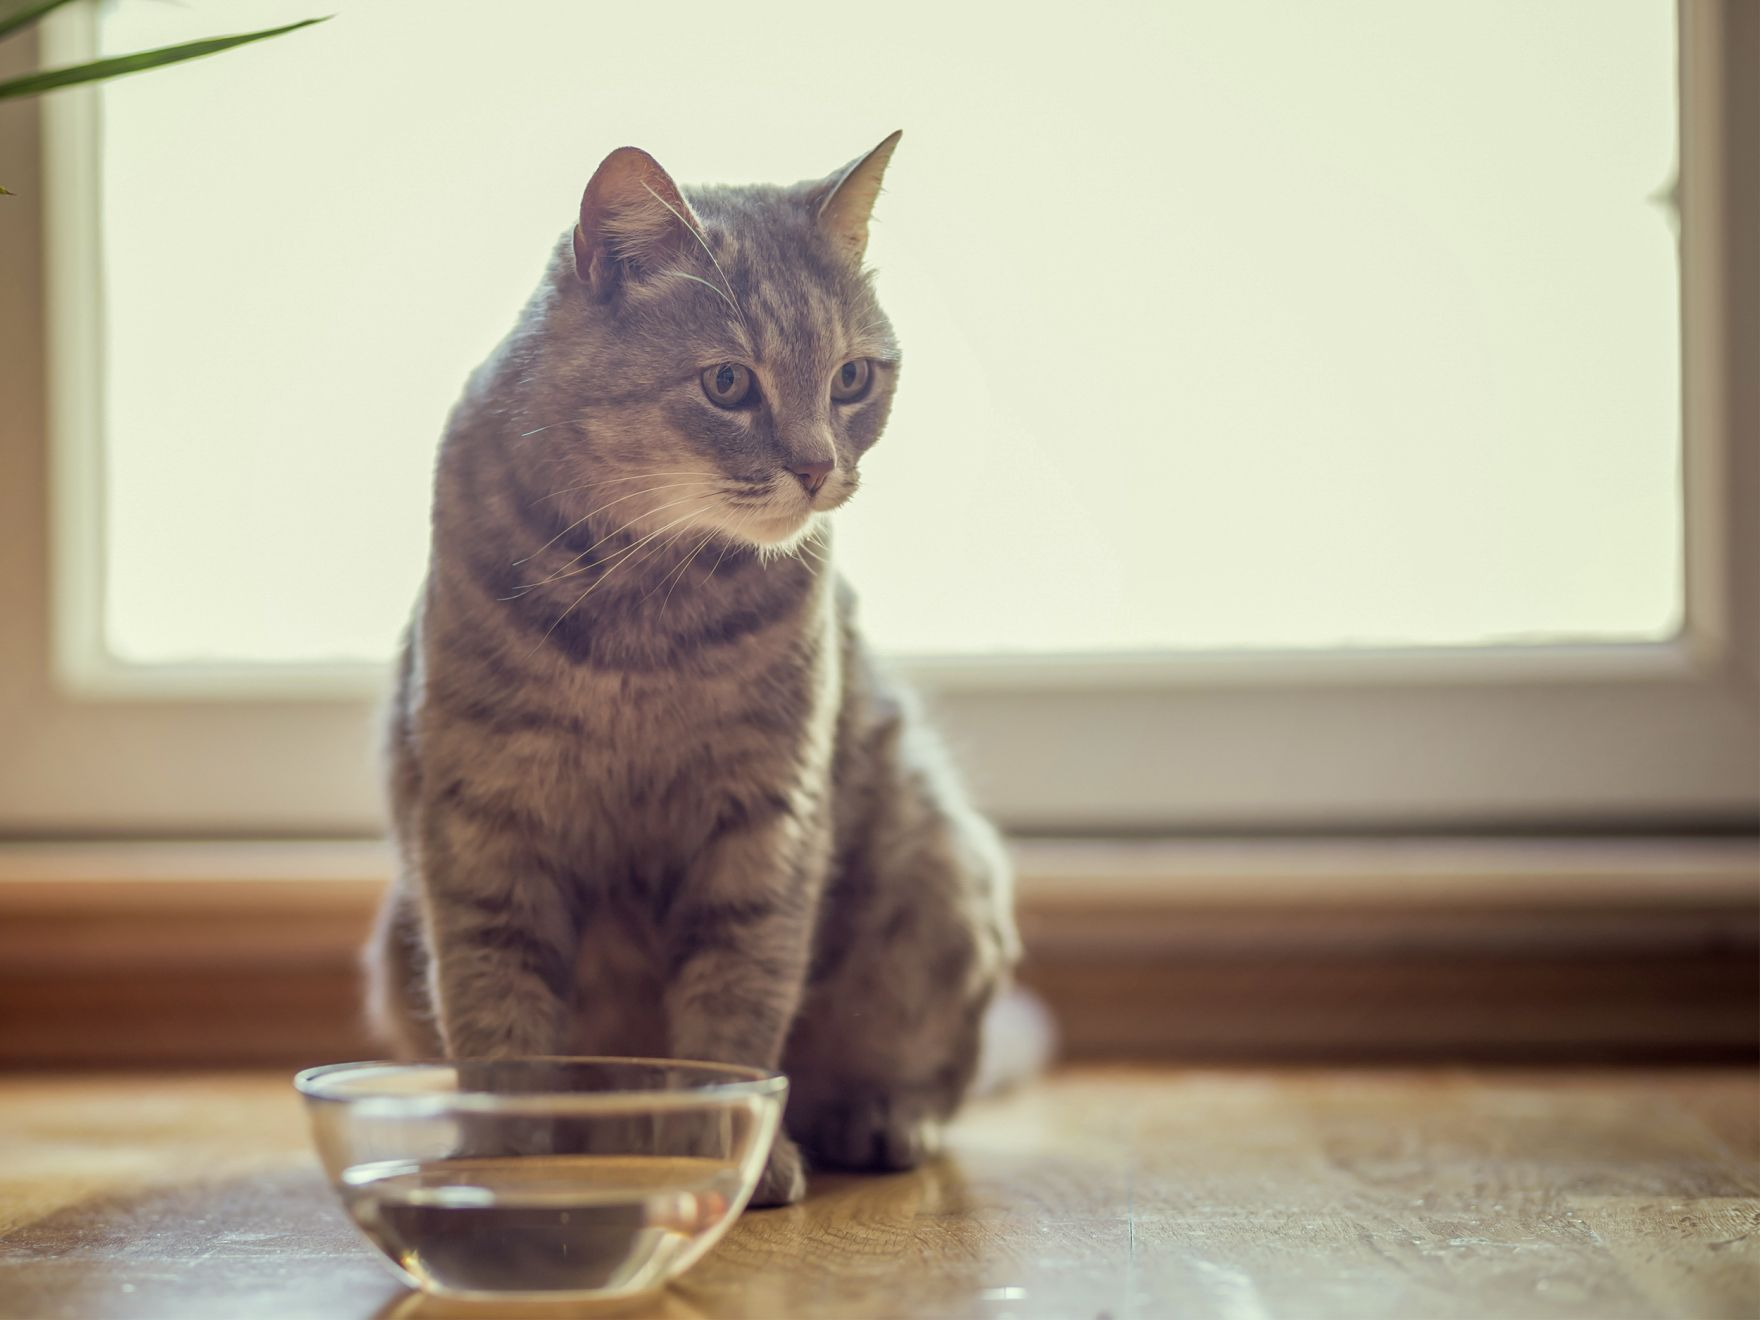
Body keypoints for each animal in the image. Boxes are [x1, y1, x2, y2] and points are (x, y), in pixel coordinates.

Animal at [366, 134, 1027, 1210]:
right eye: (727, 385)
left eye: (852, 378)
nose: (818, 467)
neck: (647, 604)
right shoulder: (482, 822)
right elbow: (496, 1011)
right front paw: (506, 1157)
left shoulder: (766, 817)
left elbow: (737, 1005)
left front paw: (732, 1149)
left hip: (937, 865)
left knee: (922, 1076)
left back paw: (875, 1118)